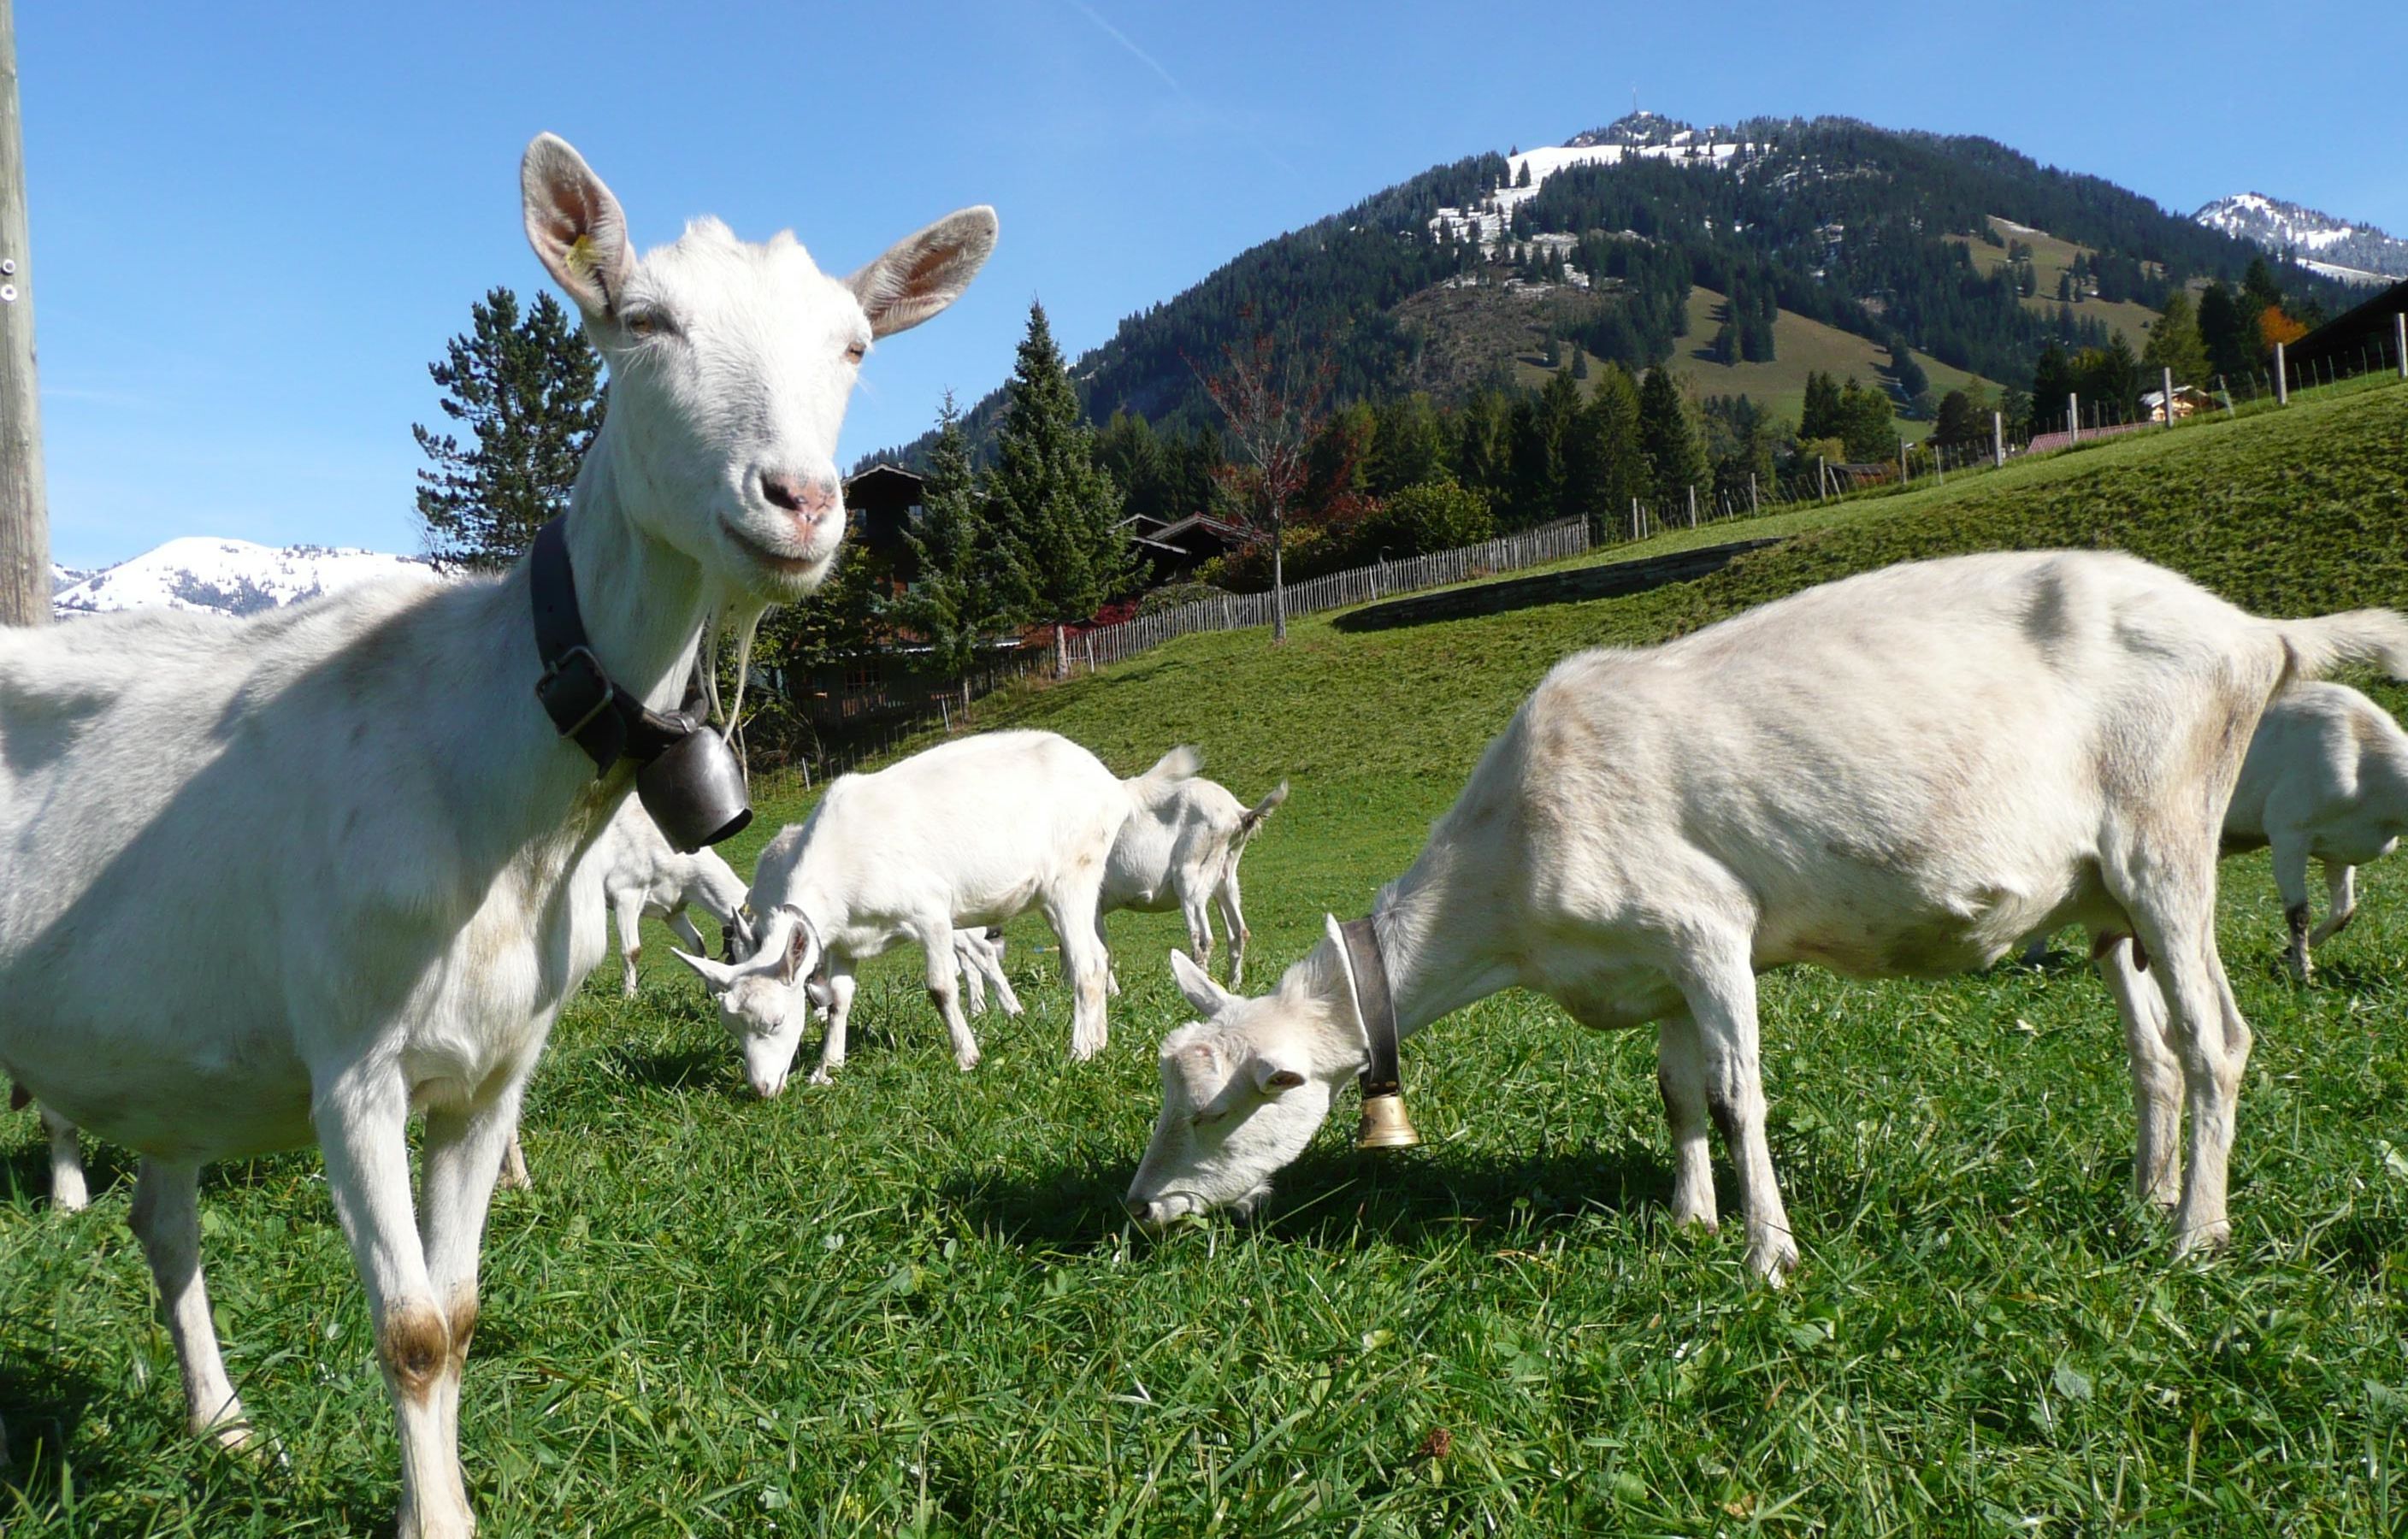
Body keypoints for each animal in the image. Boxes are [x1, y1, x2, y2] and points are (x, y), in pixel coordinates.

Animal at [0, 135, 992, 1535]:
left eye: (854, 343)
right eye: (642, 321)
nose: (799, 503)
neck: (500, 788)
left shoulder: (492, 1068)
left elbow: (460, 1313)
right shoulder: (351, 1068)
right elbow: (412, 1331)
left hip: (170, 1054)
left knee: (166, 1221)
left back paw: (226, 1425)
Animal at [676, 730, 1128, 1094]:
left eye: (775, 1021)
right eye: (730, 1026)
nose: (762, 1088)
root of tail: (1110, 786)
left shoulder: (930, 912)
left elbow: (941, 987)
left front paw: (967, 1056)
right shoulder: (844, 942)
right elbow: (839, 999)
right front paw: (827, 1069)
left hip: (1073, 872)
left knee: (1087, 963)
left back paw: (1079, 1052)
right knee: (1099, 955)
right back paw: (1100, 1042)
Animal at [1100, 747, 1287, 990]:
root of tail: (1239, 813)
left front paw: (1112, 991)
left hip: (1190, 880)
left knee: (1204, 940)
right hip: (1224, 878)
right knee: (1239, 932)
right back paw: (1233, 984)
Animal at [2221, 681, 2408, 981]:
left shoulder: (2341, 849)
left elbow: (2344, 912)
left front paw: (2287, 957)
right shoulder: (2288, 835)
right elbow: (2298, 912)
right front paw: (2302, 973)